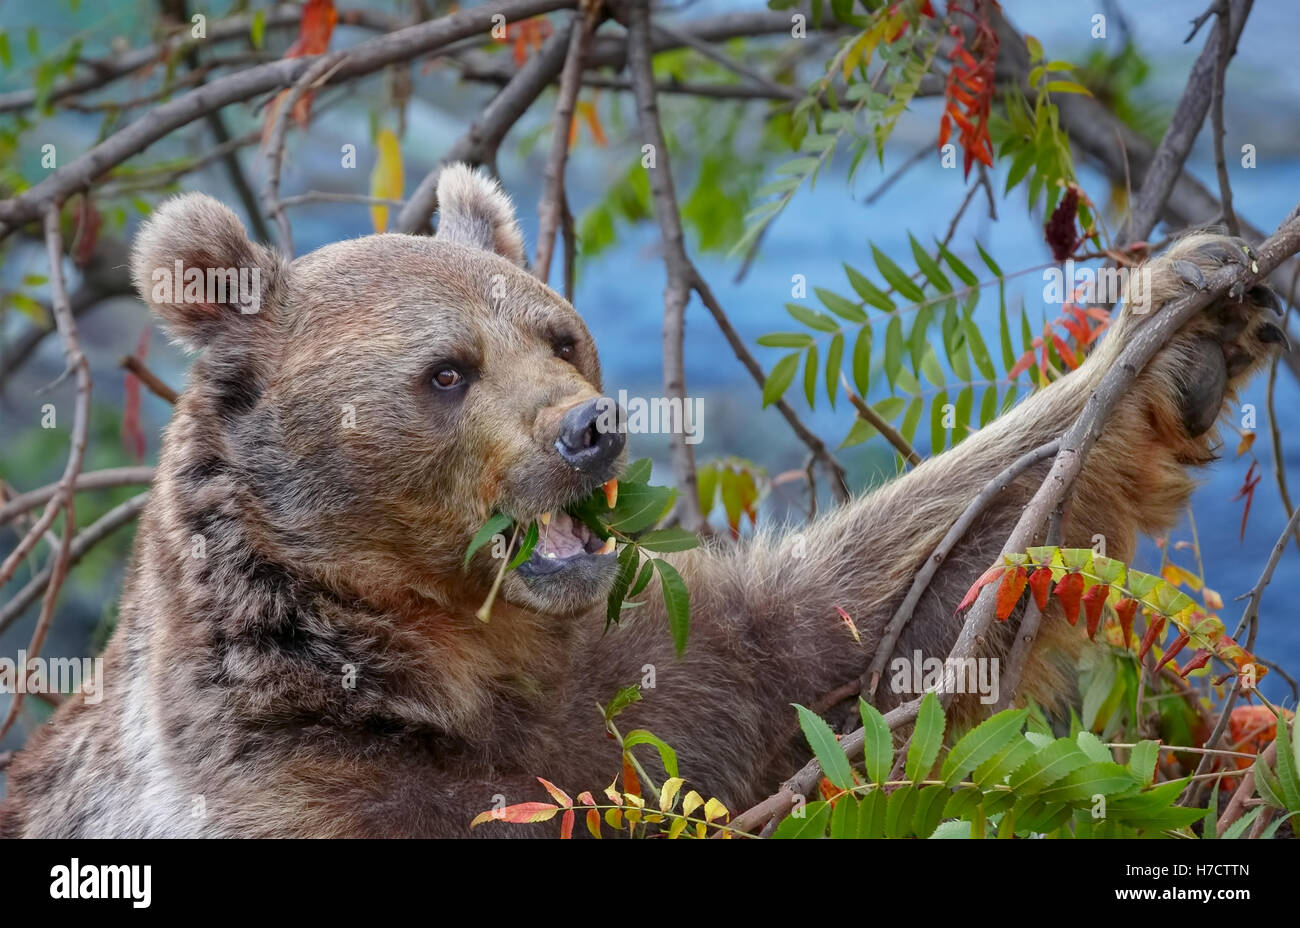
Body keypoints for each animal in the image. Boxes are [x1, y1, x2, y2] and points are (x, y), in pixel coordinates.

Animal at [0, 164, 1287, 837]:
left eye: (557, 333)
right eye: (446, 371)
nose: (589, 429)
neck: (440, 668)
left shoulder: (653, 692)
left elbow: (879, 626)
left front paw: (1191, 317)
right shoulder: (302, 786)